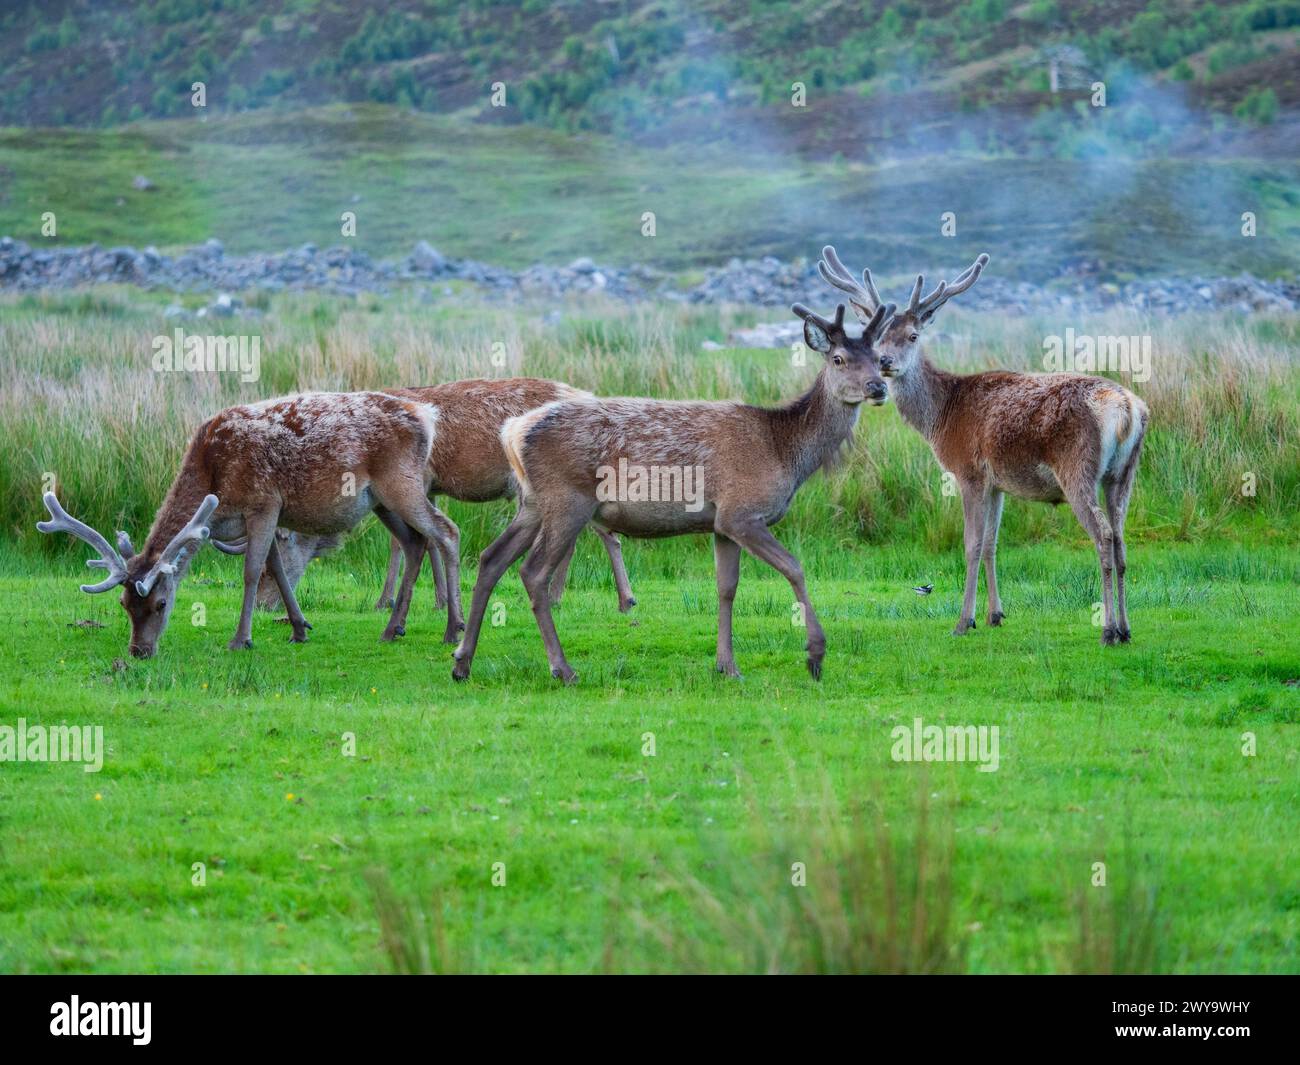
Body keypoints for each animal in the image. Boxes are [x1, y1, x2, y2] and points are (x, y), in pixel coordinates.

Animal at [38, 391, 461, 658]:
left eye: (161, 604)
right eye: (124, 605)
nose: (139, 651)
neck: (212, 477)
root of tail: (426, 416)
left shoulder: (264, 502)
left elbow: (252, 570)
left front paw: (241, 640)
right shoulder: (263, 515)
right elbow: (276, 567)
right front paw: (299, 628)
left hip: (402, 482)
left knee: (446, 532)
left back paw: (451, 629)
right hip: (380, 501)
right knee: (415, 542)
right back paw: (393, 628)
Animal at [250, 379, 637, 620]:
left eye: (278, 549)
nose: (264, 605)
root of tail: (587, 394)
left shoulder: (413, 479)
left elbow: (402, 540)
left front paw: (385, 600)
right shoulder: (429, 486)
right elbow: (432, 540)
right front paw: (439, 599)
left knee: (596, 532)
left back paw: (610, 598)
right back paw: (590, 597)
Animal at [449, 299, 895, 684]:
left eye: (879, 359)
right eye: (838, 359)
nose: (878, 387)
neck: (783, 451)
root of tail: (513, 431)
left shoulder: (721, 524)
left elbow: (726, 588)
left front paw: (727, 666)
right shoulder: (743, 511)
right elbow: (795, 567)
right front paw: (815, 655)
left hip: (532, 501)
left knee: (491, 559)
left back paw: (462, 662)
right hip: (567, 499)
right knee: (533, 571)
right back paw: (563, 668)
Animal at [817, 246, 1149, 645]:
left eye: (913, 335)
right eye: (877, 335)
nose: (885, 362)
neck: (942, 417)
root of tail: (1128, 407)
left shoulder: (969, 472)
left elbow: (971, 544)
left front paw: (964, 621)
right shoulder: (998, 484)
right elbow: (992, 543)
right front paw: (995, 615)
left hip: (1077, 468)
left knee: (1103, 535)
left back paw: (1108, 629)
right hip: (1123, 474)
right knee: (1121, 539)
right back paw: (1127, 628)